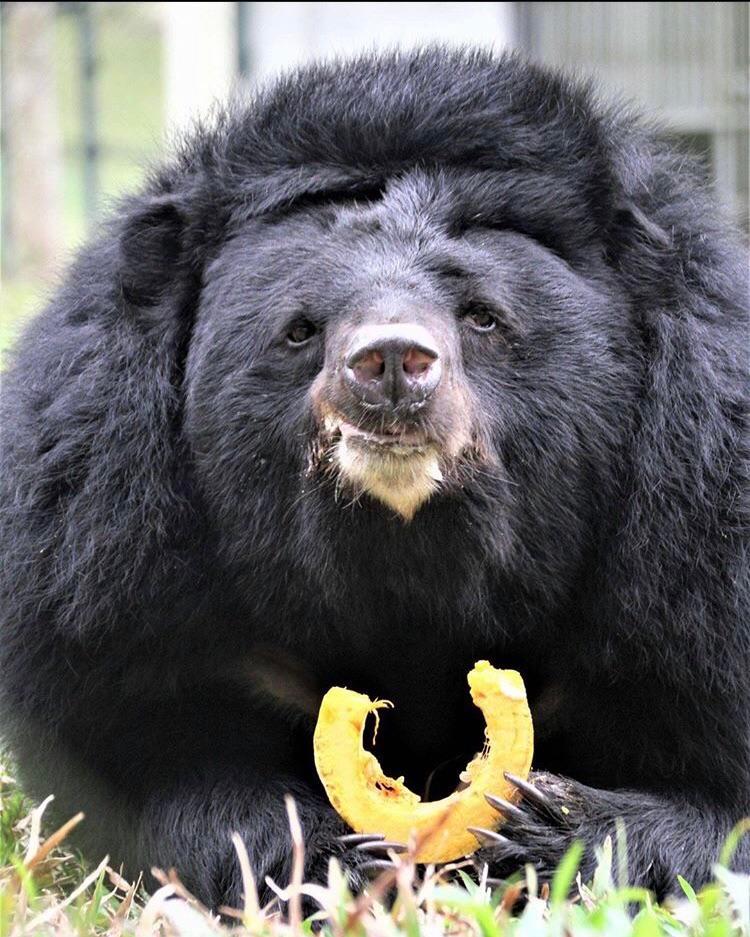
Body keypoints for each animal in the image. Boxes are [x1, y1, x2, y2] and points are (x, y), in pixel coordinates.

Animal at [0, 47, 748, 911]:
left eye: (484, 317)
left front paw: (541, 826)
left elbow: (717, 801)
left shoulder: (696, 541)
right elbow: (142, 764)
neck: (408, 562)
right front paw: (329, 850)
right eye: (300, 328)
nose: (391, 363)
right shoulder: (100, 547)